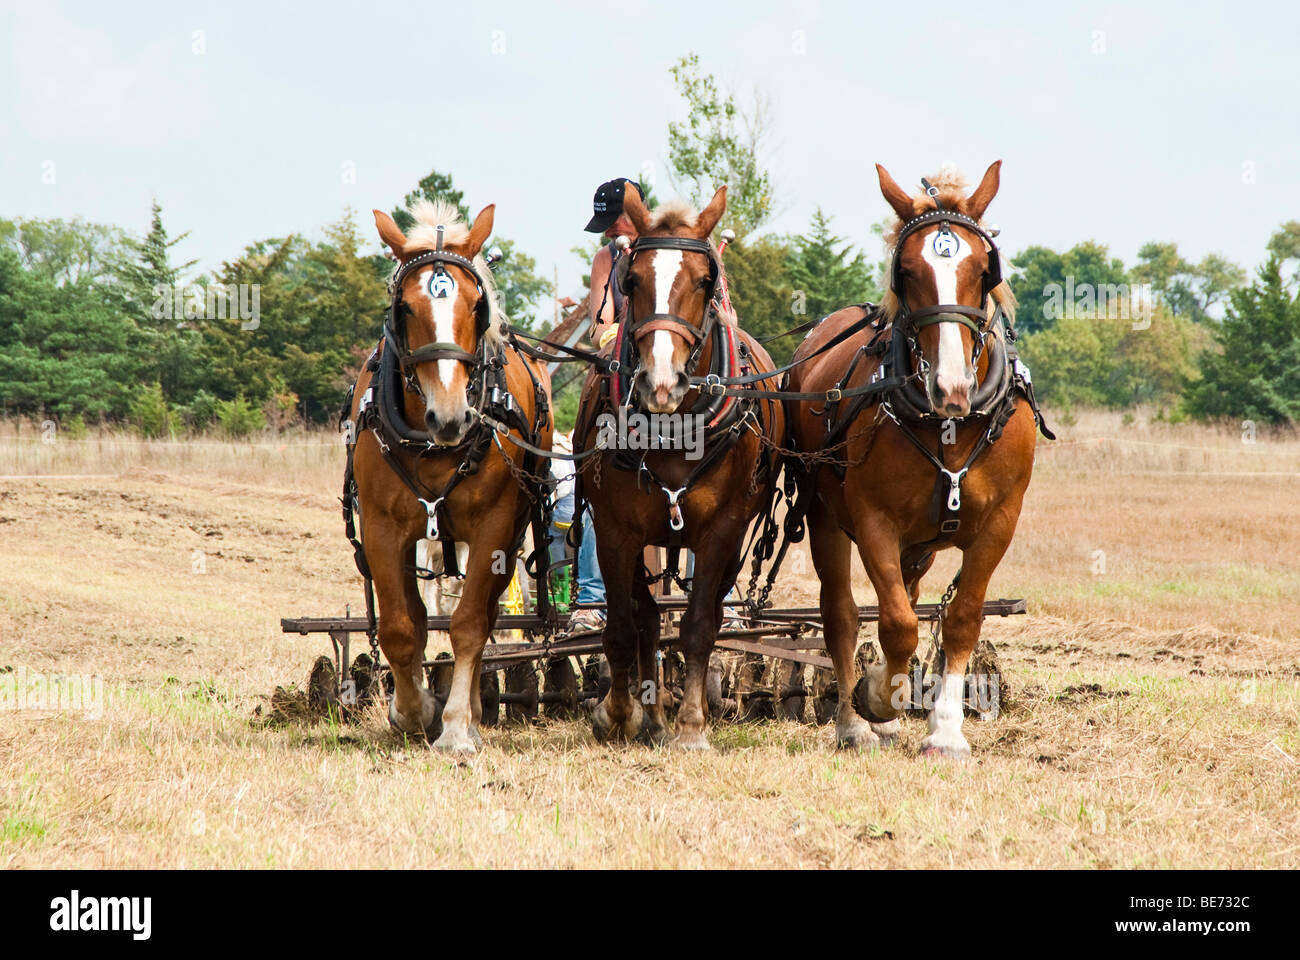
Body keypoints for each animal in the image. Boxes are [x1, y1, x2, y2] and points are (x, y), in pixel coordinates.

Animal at [343, 199, 553, 754]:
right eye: (405, 309)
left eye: (478, 307)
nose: (451, 417)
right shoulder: (383, 528)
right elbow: (401, 627)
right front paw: (413, 710)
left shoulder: (495, 528)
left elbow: (469, 625)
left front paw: (457, 725)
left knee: (484, 618)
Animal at [574, 185, 785, 750]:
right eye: (631, 281)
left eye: (705, 281)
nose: (661, 383)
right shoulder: (615, 530)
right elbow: (623, 627)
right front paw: (618, 714)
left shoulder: (723, 530)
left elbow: (697, 626)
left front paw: (691, 725)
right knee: (647, 619)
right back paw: (648, 714)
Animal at [785, 161, 1049, 759]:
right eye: (905, 270)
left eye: (984, 269)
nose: (950, 387)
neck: (950, 421)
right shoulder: (873, 521)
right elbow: (897, 624)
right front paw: (877, 698)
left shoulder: (1001, 522)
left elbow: (961, 619)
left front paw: (945, 730)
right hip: (825, 518)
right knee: (842, 614)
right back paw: (855, 723)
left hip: (919, 545)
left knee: (907, 594)